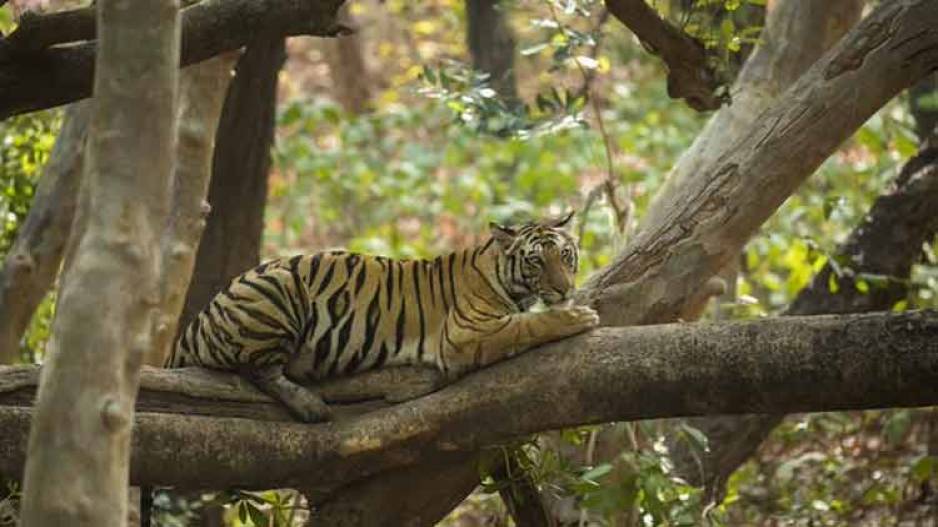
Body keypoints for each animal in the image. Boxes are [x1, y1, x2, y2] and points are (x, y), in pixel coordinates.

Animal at [166, 211, 599, 423]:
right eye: (536, 261)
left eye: (565, 255)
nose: (564, 289)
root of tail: (197, 319)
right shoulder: (464, 333)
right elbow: (529, 325)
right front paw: (579, 317)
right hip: (280, 284)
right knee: (256, 369)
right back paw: (310, 406)